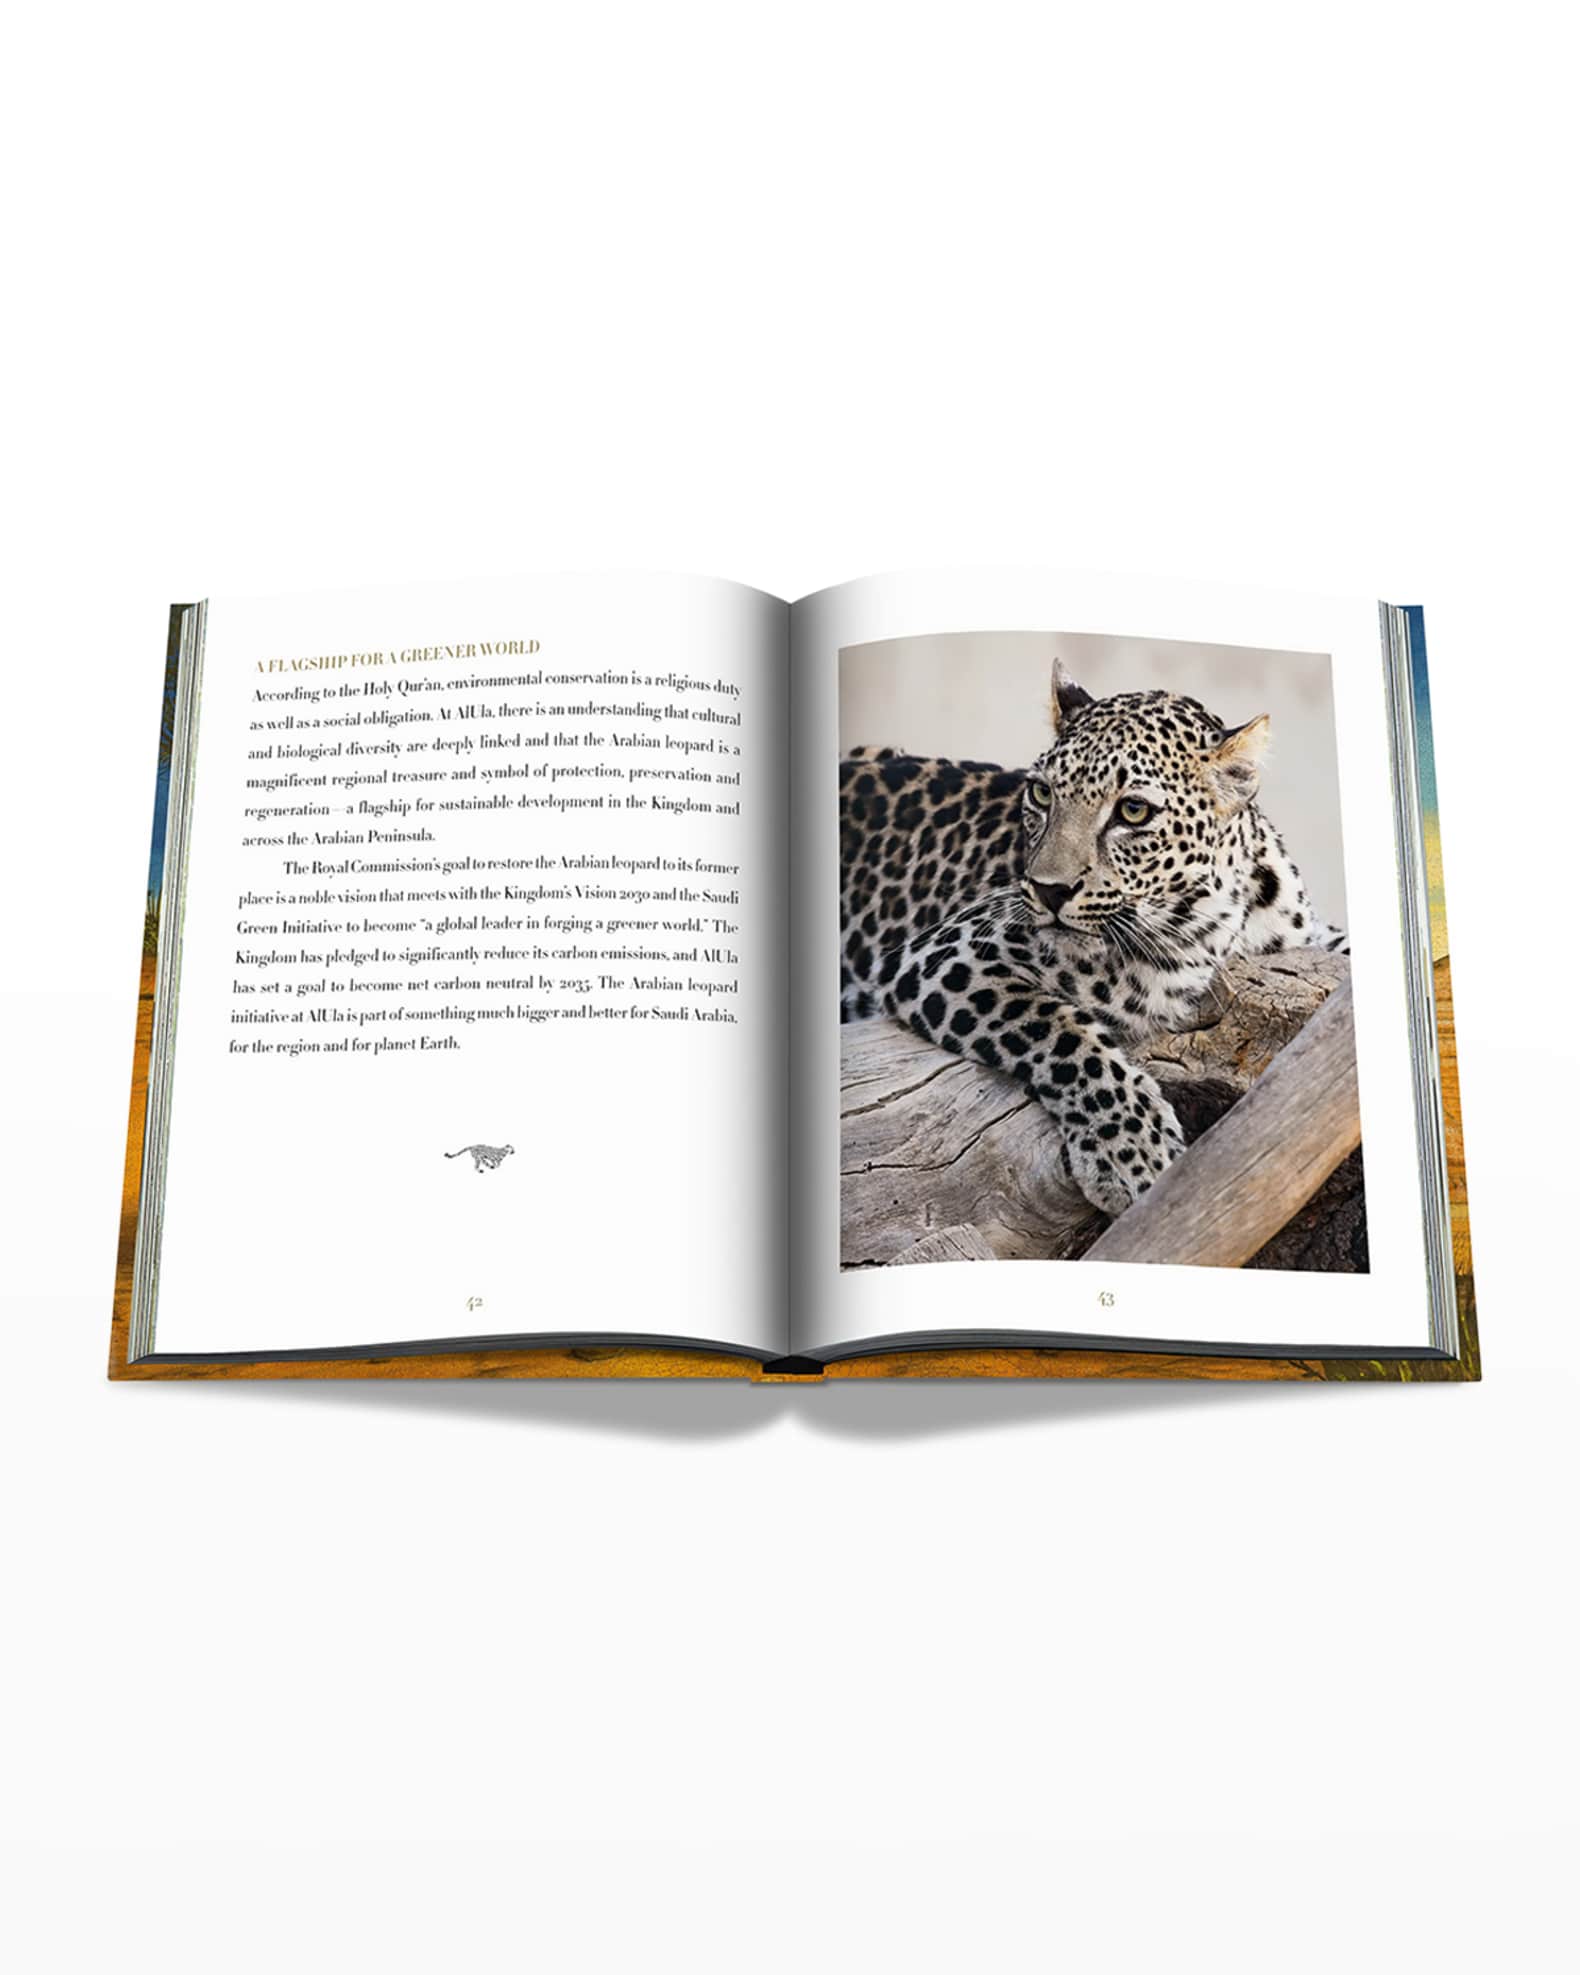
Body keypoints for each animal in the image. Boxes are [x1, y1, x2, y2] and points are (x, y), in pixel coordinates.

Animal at [839, 660, 1346, 1220]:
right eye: (1042, 794)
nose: (1048, 889)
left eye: (1133, 812)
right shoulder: (950, 952)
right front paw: (1134, 1153)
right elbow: (1061, 1031)